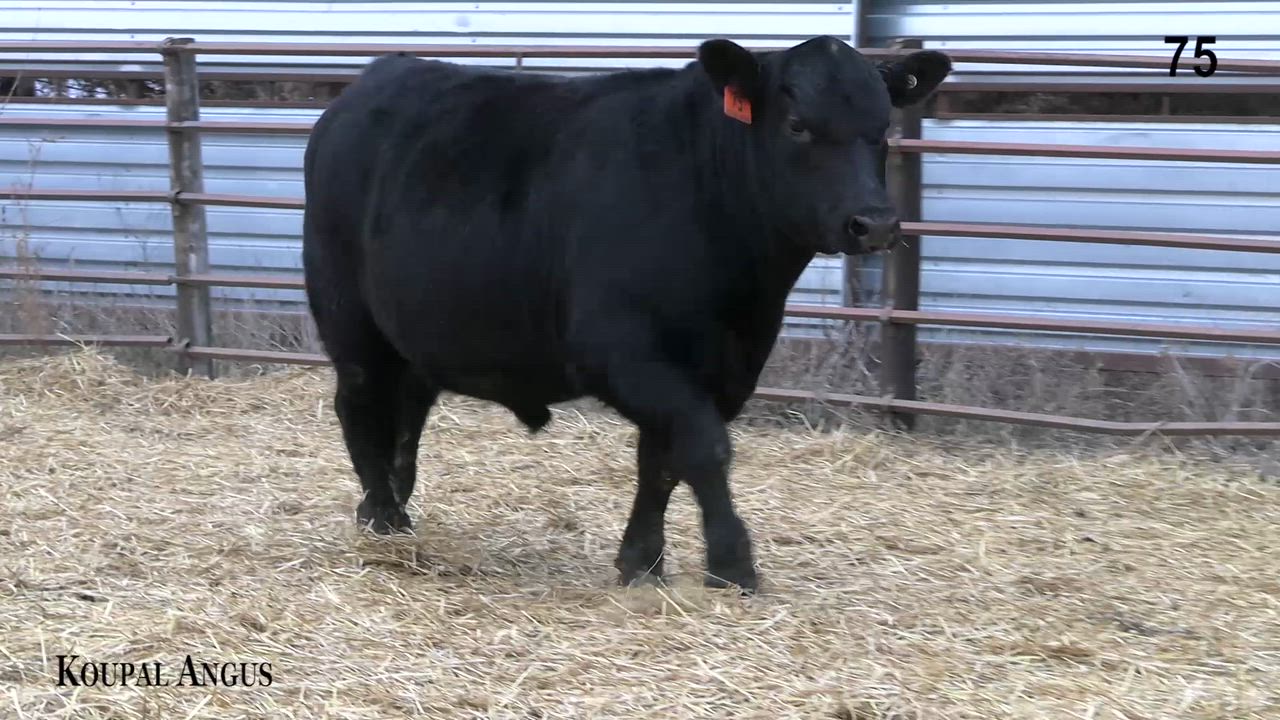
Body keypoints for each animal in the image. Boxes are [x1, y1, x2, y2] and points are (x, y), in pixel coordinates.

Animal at [301, 35, 951, 594]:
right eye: (797, 125)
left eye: (882, 129)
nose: (875, 223)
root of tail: (381, 75)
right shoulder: (622, 352)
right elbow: (704, 448)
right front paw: (731, 565)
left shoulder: (725, 366)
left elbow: (661, 463)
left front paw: (642, 562)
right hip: (348, 318)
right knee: (358, 403)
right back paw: (382, 520)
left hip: (413, 335)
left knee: (406, 412)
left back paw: (395, 507)